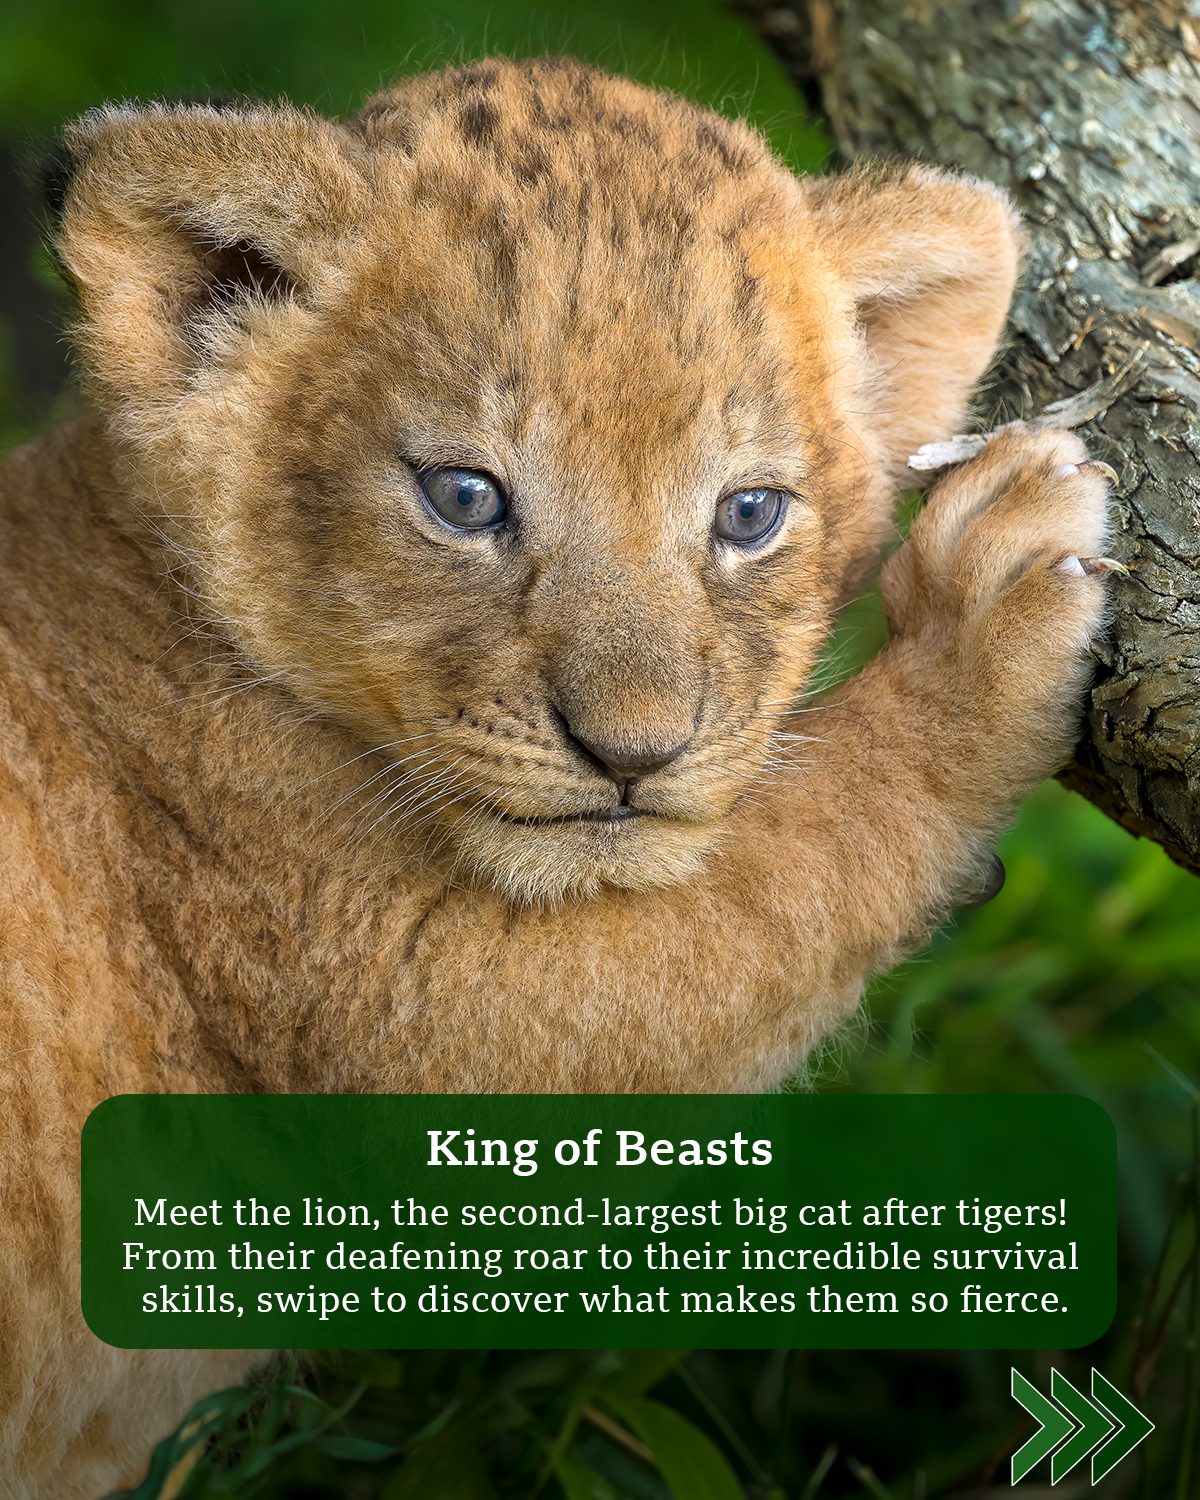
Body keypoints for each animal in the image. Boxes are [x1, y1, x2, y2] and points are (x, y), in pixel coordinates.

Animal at [0, 58, 1110, 1496]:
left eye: (748, 514)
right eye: (466, 498)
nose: (632, 755)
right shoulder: (398, 1010)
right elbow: (807, 853)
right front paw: (998, 606)